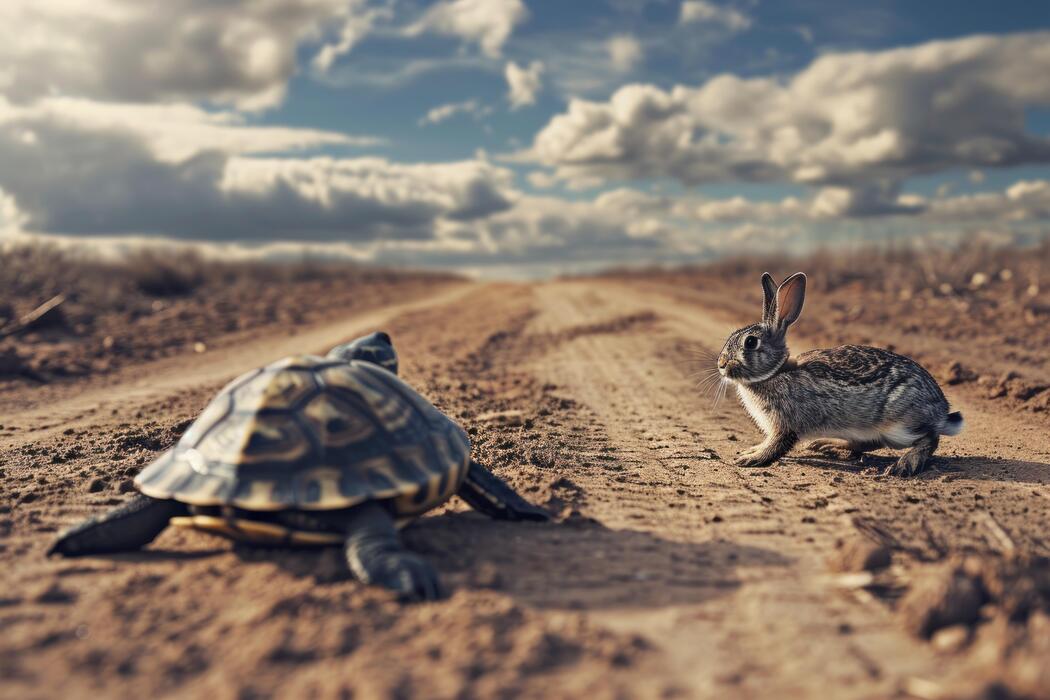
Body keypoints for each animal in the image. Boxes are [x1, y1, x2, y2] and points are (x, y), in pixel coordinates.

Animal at [716, 272, 963, 476]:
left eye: (750, 342)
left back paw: (904, 464)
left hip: (900, 425)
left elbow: (776, 446)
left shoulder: (786, 423)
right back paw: (827, 445)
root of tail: (941, 411)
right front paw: (750, 450)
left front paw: (751, 459)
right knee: (868, 444)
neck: (775, 372)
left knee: (929, 439)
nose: (721, 364)